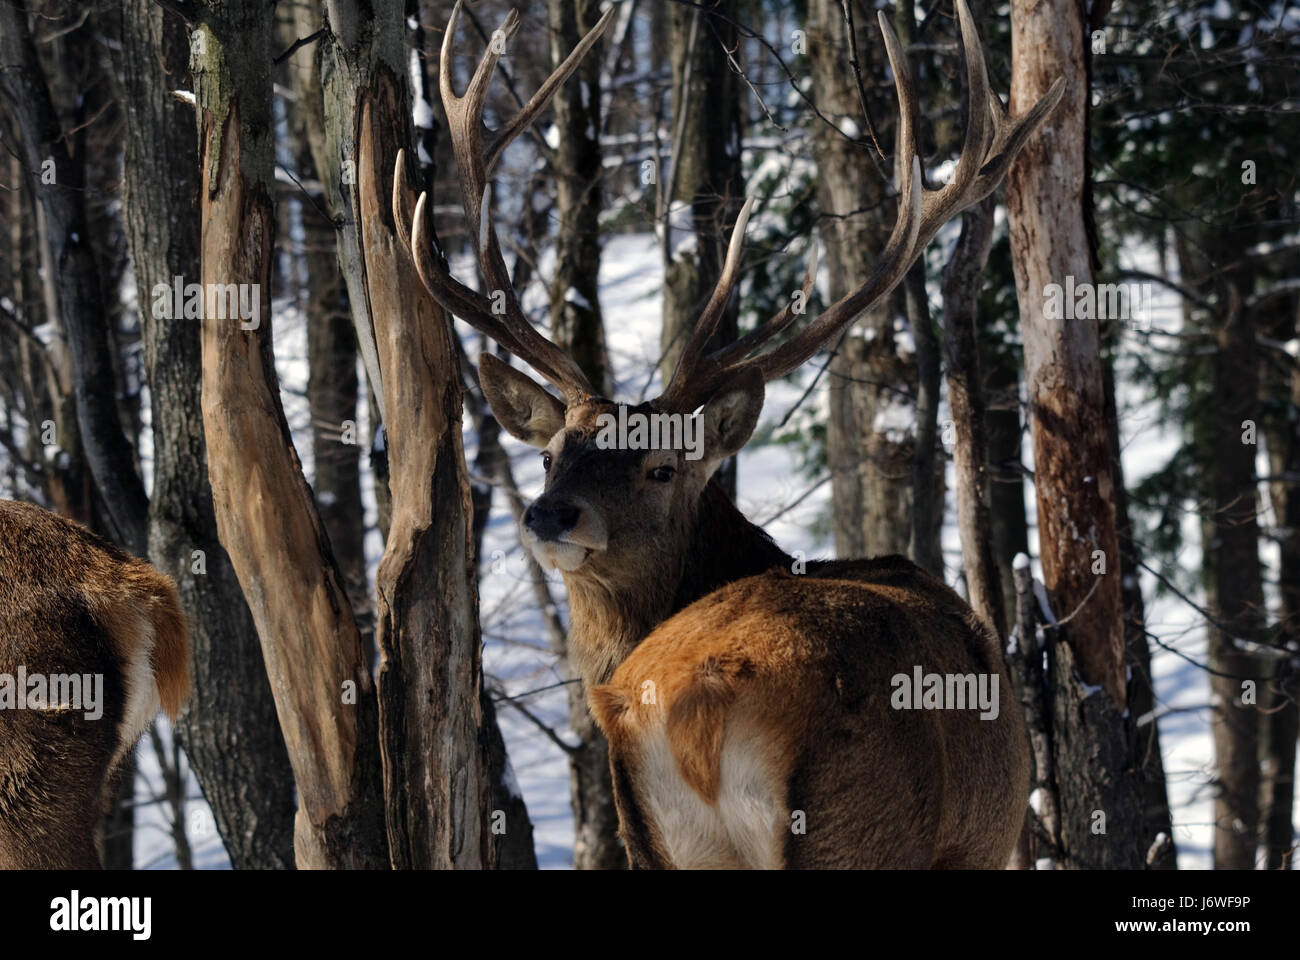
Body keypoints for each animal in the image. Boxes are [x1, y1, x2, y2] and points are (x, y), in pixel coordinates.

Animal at [391, 0, 1064, 868]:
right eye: (547, 456)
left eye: (661, 468)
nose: (549, 514)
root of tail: (705, 700)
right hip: (861, 829)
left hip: (661, 836)